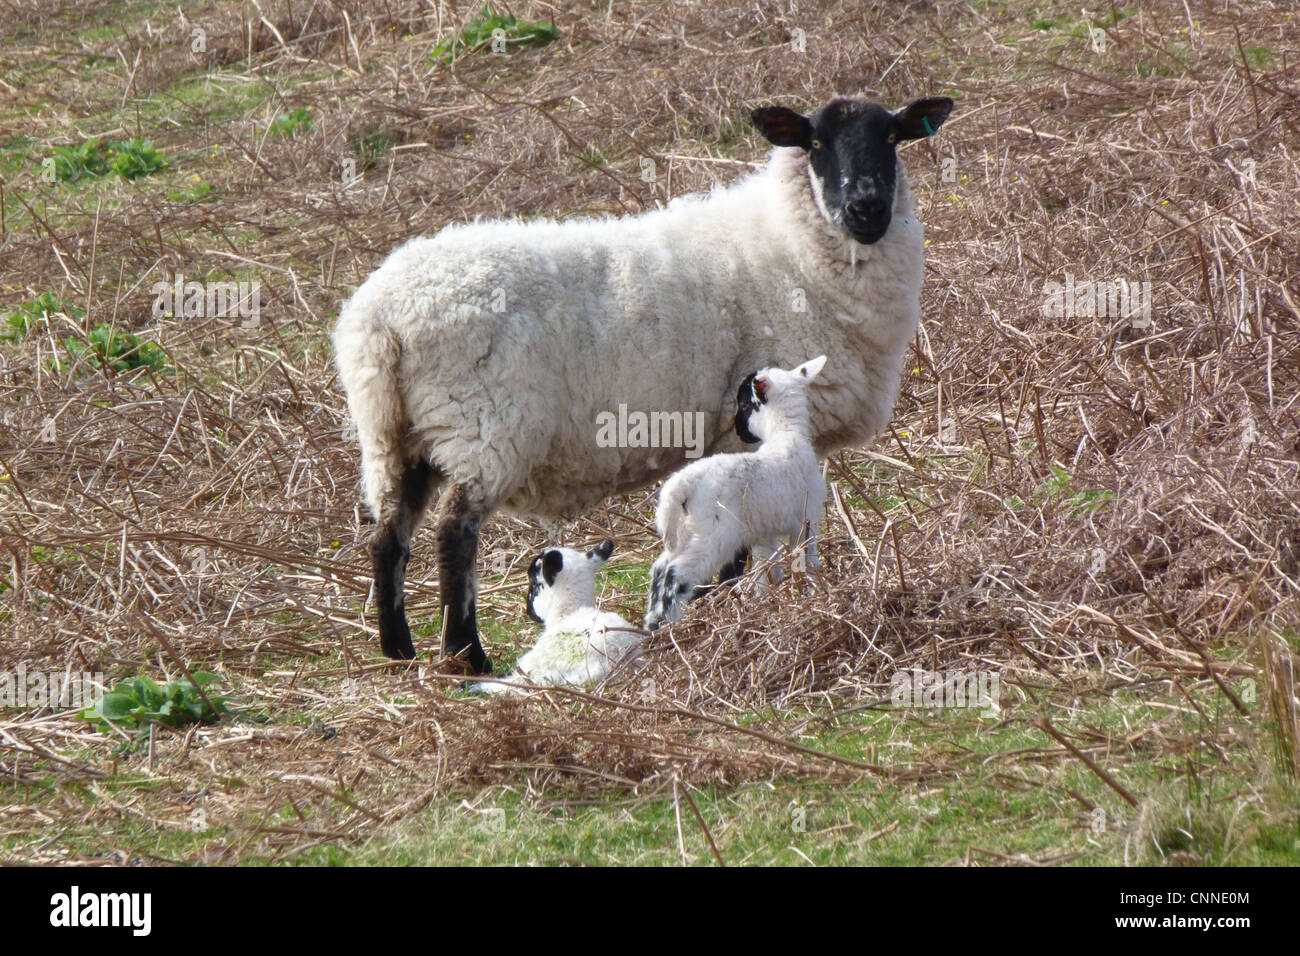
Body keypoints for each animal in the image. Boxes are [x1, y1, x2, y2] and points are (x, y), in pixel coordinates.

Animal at [645, 356, 827, 630]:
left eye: (743, 404)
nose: (739, 430)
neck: (786, 435)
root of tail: (681, 484)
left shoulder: (764, 535)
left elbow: (767, 571)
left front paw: (768, 601)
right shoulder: (807, 520)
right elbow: (807, 560)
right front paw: (814, 592)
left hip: (685, 531)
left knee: (660, 567)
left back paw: (652, 622)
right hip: (716, 533)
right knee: (676, 573)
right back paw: (668, 623)